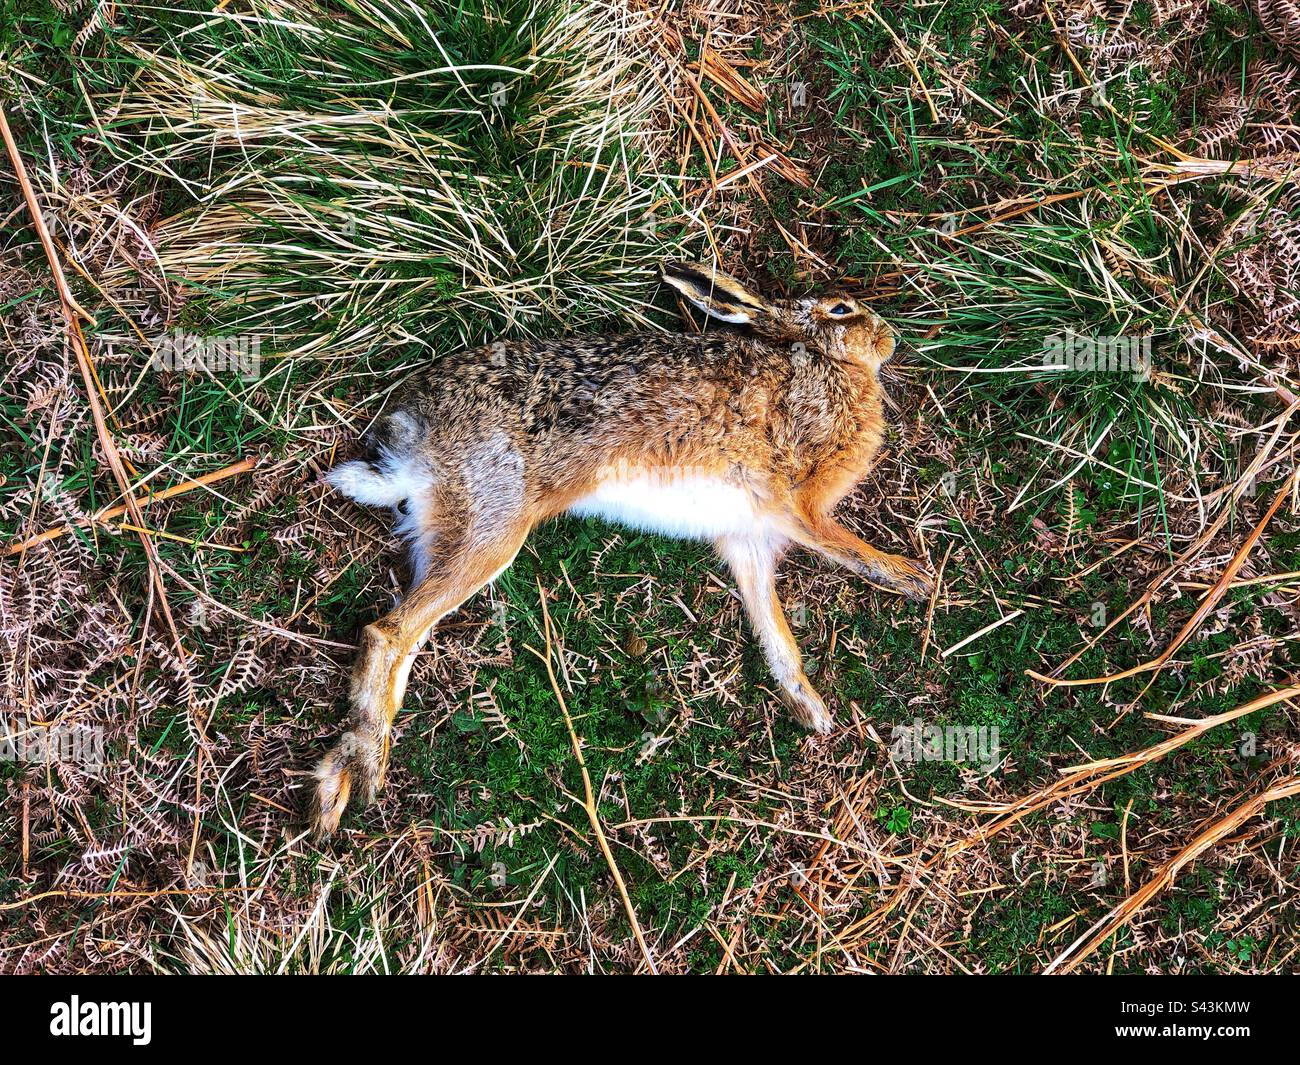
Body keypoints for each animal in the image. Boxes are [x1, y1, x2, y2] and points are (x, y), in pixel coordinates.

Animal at [311, 260, 932, 837]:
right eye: (841, 311)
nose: (889, 339)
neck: (823, 363)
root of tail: (416, 442)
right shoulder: (792, 501)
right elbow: (839, 544)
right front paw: (911, 578)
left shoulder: (747, 541)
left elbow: (776, 634)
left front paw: (810, 709)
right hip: (493, 525)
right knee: (386, 634)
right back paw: (357, 779)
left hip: (446, 532)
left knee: (402, 637)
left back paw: (338, 782)